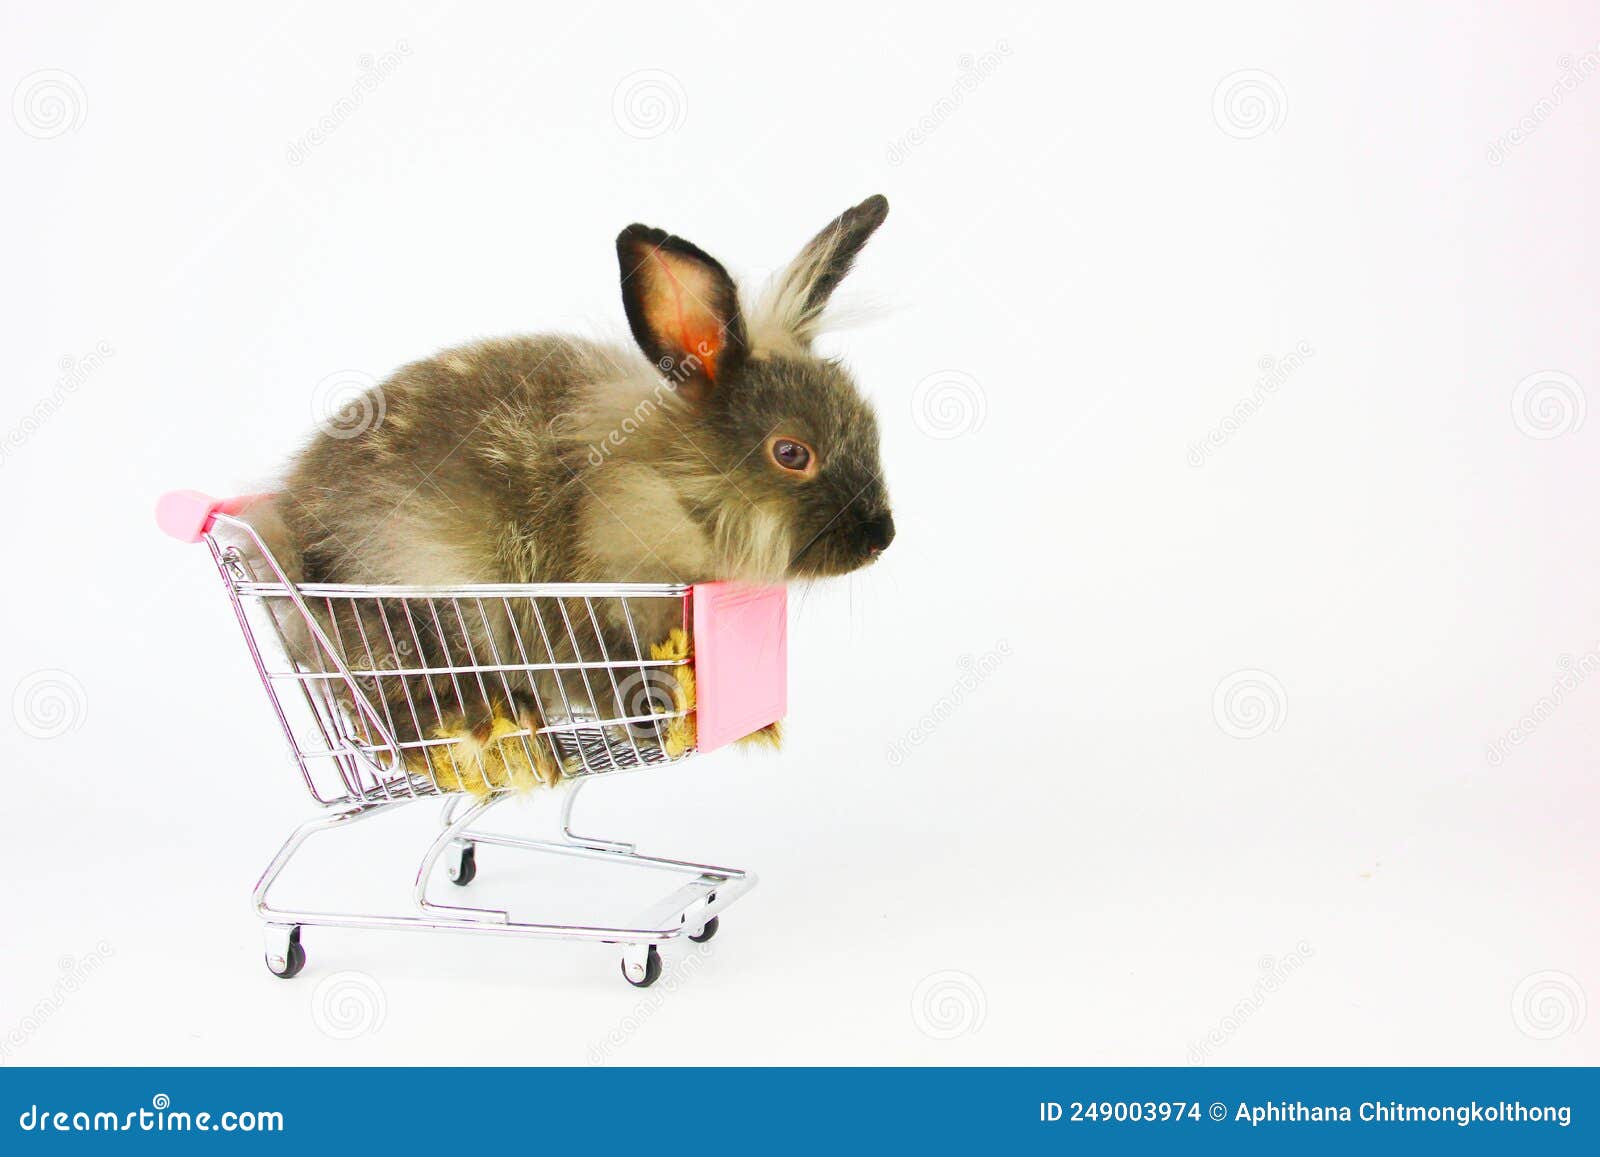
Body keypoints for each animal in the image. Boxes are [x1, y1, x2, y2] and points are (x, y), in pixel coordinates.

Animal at [248, 194, 894, 793]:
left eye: (868, 423)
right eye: (791, 453)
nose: (881, 538)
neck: (673, 490)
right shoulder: (596, 616)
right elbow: (620, 683)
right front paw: (657, 718)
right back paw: (502, 742)